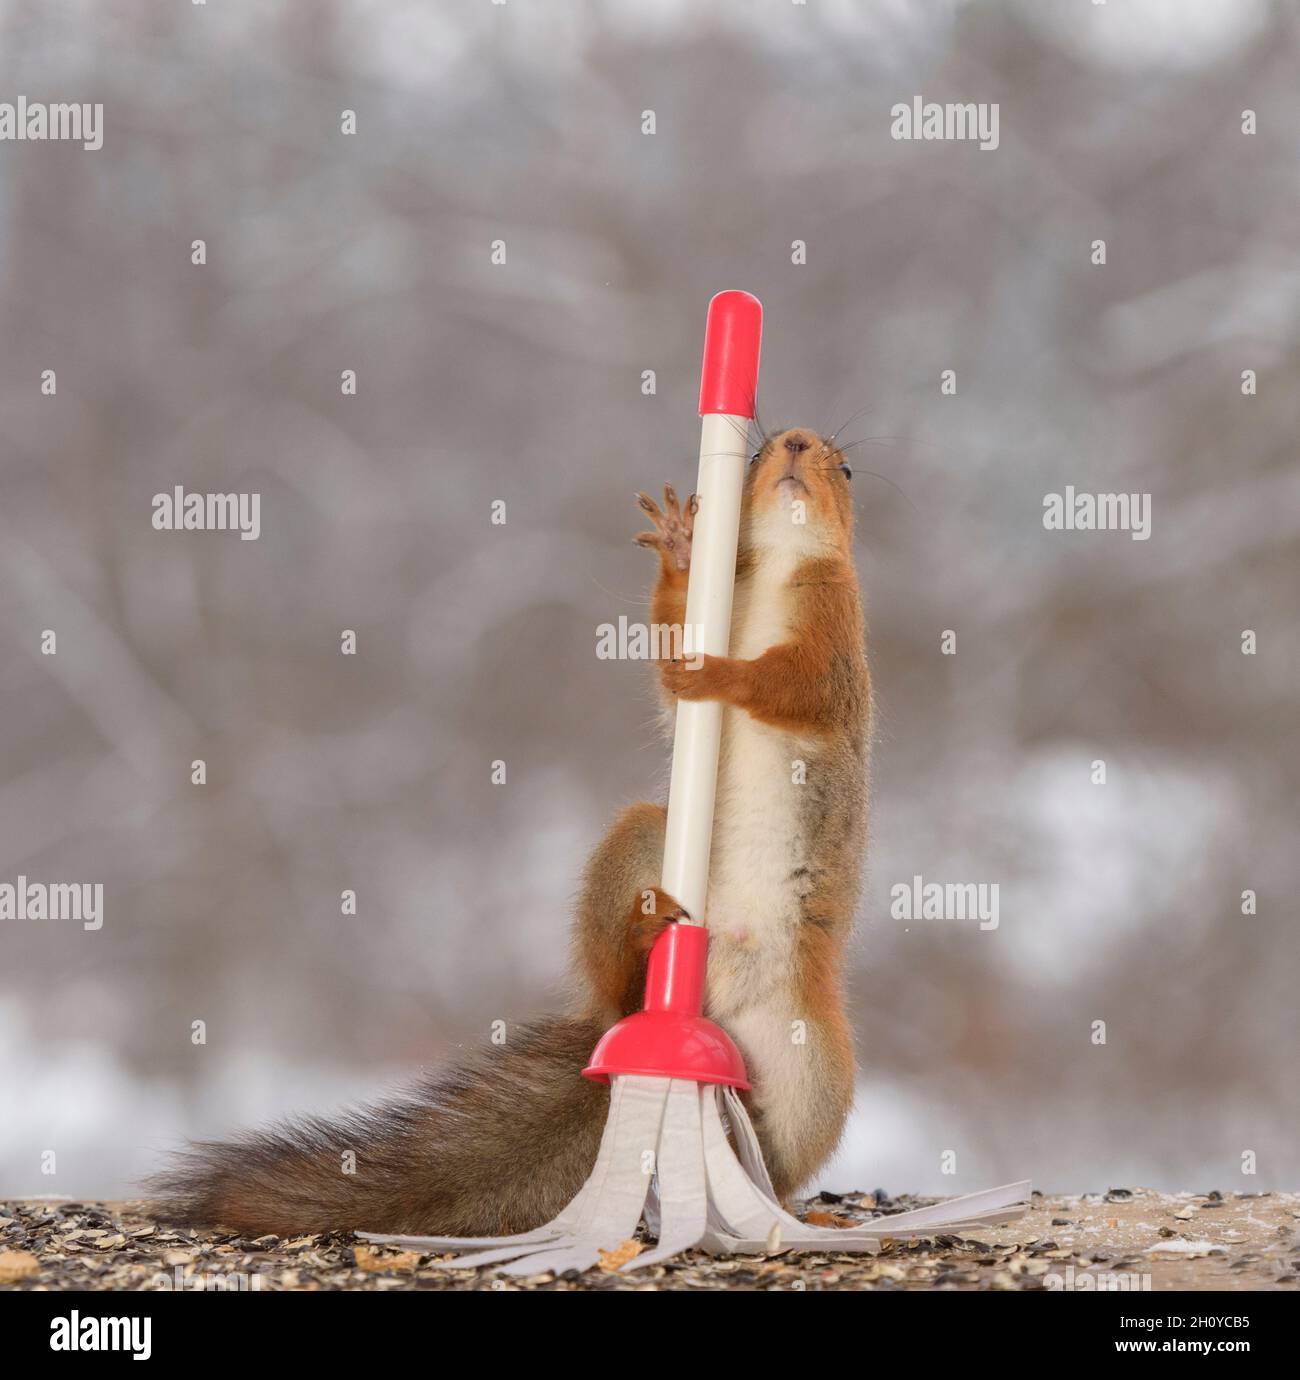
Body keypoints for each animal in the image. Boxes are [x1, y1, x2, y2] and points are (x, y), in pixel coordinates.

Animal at [150, 427, 871, 1237]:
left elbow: (795, 683)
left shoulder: (837, 638)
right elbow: (672, 642)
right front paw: (684, 548)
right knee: (621, 983)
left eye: (846, 468)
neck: (776, 563)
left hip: (814, 1081)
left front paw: (723, 672)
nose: (796, 442)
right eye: (753, 455)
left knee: (778, 1162)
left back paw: (768, 1211)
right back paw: (643, 936)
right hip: (642, 840)